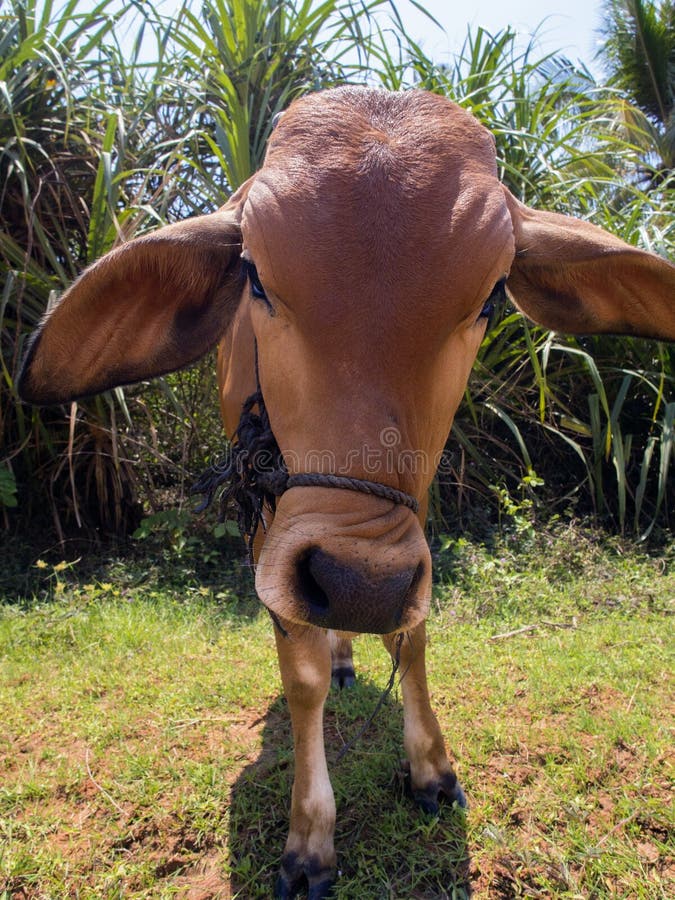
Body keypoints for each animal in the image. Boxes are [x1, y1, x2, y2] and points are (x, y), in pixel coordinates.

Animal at [18, 87, 675, 898]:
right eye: (254, 275)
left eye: (492, 296)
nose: (358, 584)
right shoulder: (267, 520)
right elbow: (299, 677)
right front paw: (310, 839)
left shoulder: (411, 515)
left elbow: (412, 633)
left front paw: (431, 770)